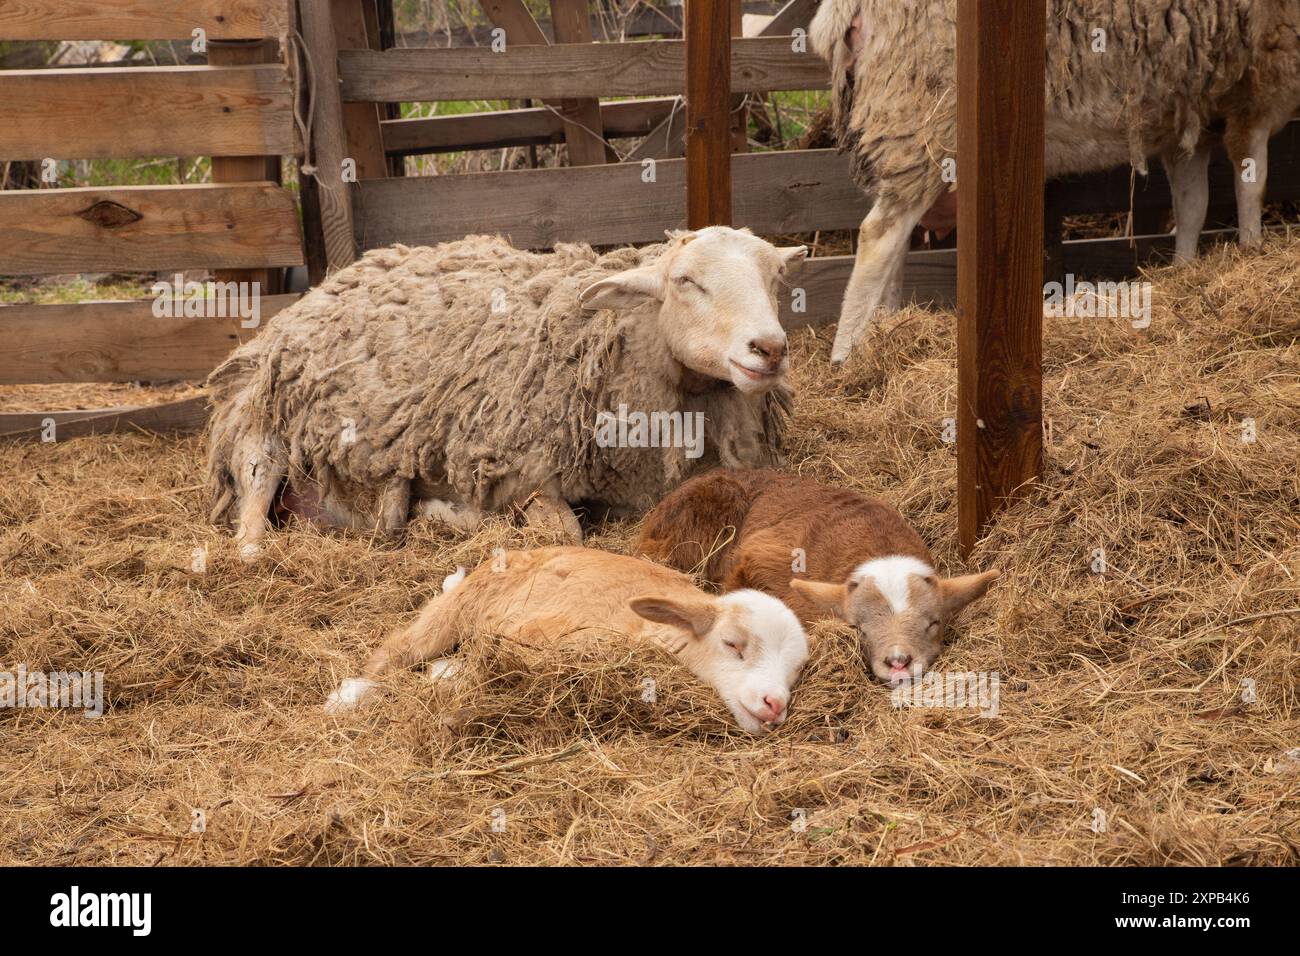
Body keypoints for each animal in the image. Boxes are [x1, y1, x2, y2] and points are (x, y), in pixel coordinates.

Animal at [205, 228, 808, 560]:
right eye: (686, 281)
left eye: (775, 278)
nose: (769, 348)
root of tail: (327, 282)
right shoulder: (521, 471)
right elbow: (565, 535)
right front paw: (447, 513)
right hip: (261, 421)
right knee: (253, 507)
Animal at [324, 545, 811, 735]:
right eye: (732, 645)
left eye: (795, 674)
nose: (774, 704)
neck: (645, 628)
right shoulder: (529, 637)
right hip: (455, 612)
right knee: (397, 650)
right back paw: (350, 695)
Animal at [811, 0, 1300, 362]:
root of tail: (845, 12)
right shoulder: (1262, 79)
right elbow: (1251, 182)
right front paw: (1252, 250)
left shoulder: (1186, 109)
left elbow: (1192, 204)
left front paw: (1184, 269)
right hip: (920, 115)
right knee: (878, 237)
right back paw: (846, 355)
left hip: (900, 128)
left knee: (897, 239)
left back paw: (882, 331)